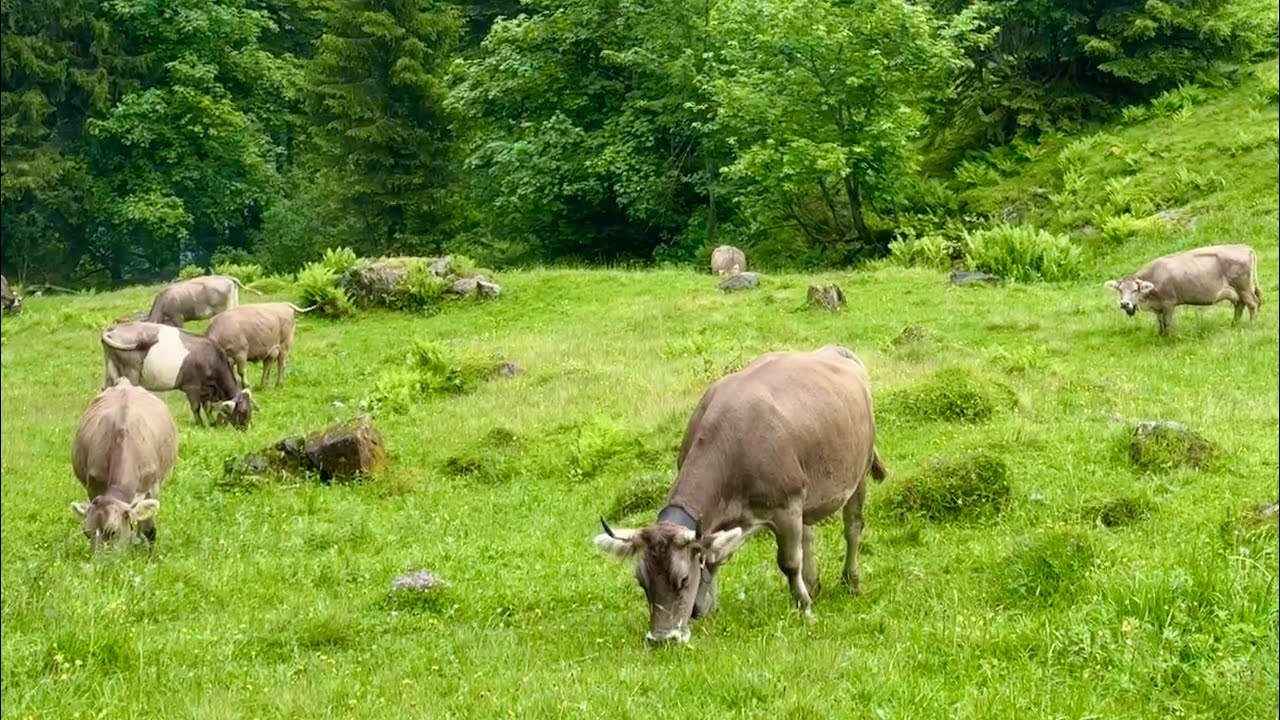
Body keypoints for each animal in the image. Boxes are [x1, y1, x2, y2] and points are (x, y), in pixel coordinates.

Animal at [71, 378, 178, 549]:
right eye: (87, 533)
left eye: (112, 532)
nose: (99, 557)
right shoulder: (93, 486)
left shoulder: (152, 487)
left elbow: (148, 529)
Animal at [100, 321, 254, 428]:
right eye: (242, 411)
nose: (245, 428)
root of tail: (115, 328)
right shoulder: (192, 387)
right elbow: (196, 407)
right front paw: (200, 424)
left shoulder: (205, 390)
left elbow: (207, 407)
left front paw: (211, 423)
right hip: (131, 372)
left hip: (111, 369)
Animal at [593, 345, 887, 644]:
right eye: (642, 581)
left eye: (683, 580)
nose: (662, 639)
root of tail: (836, 349)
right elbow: (713, 557)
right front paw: (705, 608)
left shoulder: (786, 507)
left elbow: (789, 562)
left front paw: (804, 608)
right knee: (809, 535)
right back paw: (813, 584)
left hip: (859, 473)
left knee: (852, 528)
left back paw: (850, 581)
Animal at [1105, 244, 1263, 335]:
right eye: (1120, 290)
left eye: (1135, 290)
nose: (1124, 303)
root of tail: (1243, 247)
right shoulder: (1158, 306)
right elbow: (1160, 322)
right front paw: (1160, 335)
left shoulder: (1168, 303)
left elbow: (1167, 322)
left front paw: (1168, 338)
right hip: (1236, 290)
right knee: (1240, 305)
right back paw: (1234, 325)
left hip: (1243, 287)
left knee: (1252, 303)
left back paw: (1252, 325)